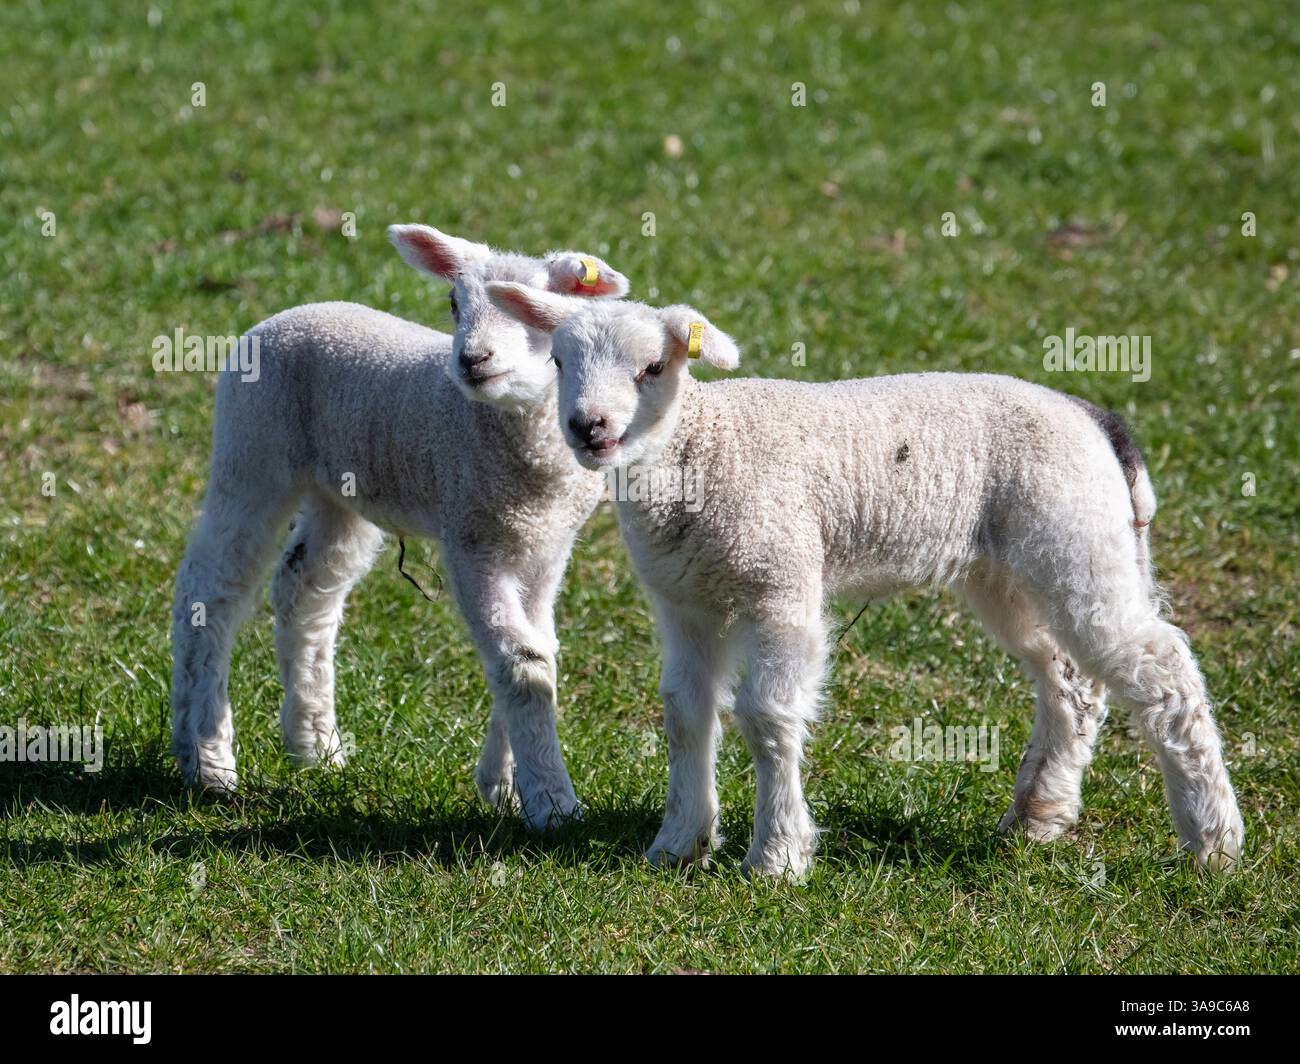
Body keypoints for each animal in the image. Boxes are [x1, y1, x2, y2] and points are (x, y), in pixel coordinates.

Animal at [169, 226, 629, 829]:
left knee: (304, 594)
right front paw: (552, 804)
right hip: (249, 453)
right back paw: (207, 760)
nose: (472, 360)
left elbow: (540, 649)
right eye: (454, 303)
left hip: (336, 494)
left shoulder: (545, 544)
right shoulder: (472, 538)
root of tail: (289, 313)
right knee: (208, 592)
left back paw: (314, 747)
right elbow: (523, 664)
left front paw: (503, 785)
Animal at [486, 282, 1245, 877]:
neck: (700, 448)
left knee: (1162, 666)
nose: (588, 427)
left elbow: (766, 716)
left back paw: (1213, 841)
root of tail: (1100, 423)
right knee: (1067, 676)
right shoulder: (684, 600)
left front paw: (777, 856)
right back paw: (1037, 815)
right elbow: (684, 713)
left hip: (1077, 536)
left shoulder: (782, 584)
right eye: (558, 360)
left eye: (651, 367)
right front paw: (679, 842)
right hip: (1011, 567)